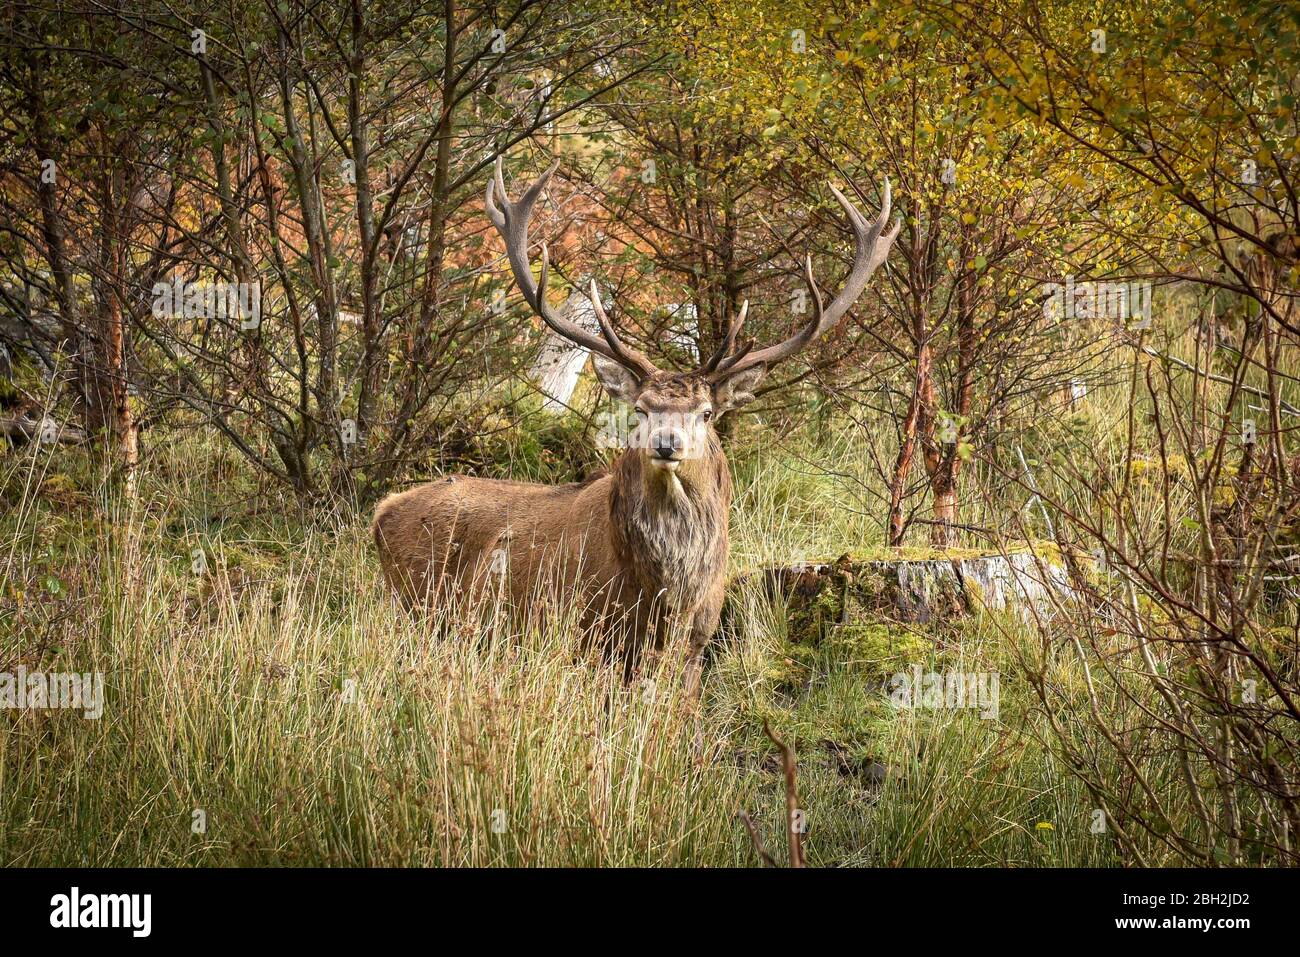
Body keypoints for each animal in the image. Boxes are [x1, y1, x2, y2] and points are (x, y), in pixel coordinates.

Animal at [373, 158, 899, 693]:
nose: (666, 444)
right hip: (419, 606)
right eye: (643, 409)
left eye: (706, 413)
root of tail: (383, 510)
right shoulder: (590, 632)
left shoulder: (697, 641)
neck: (667, 598)